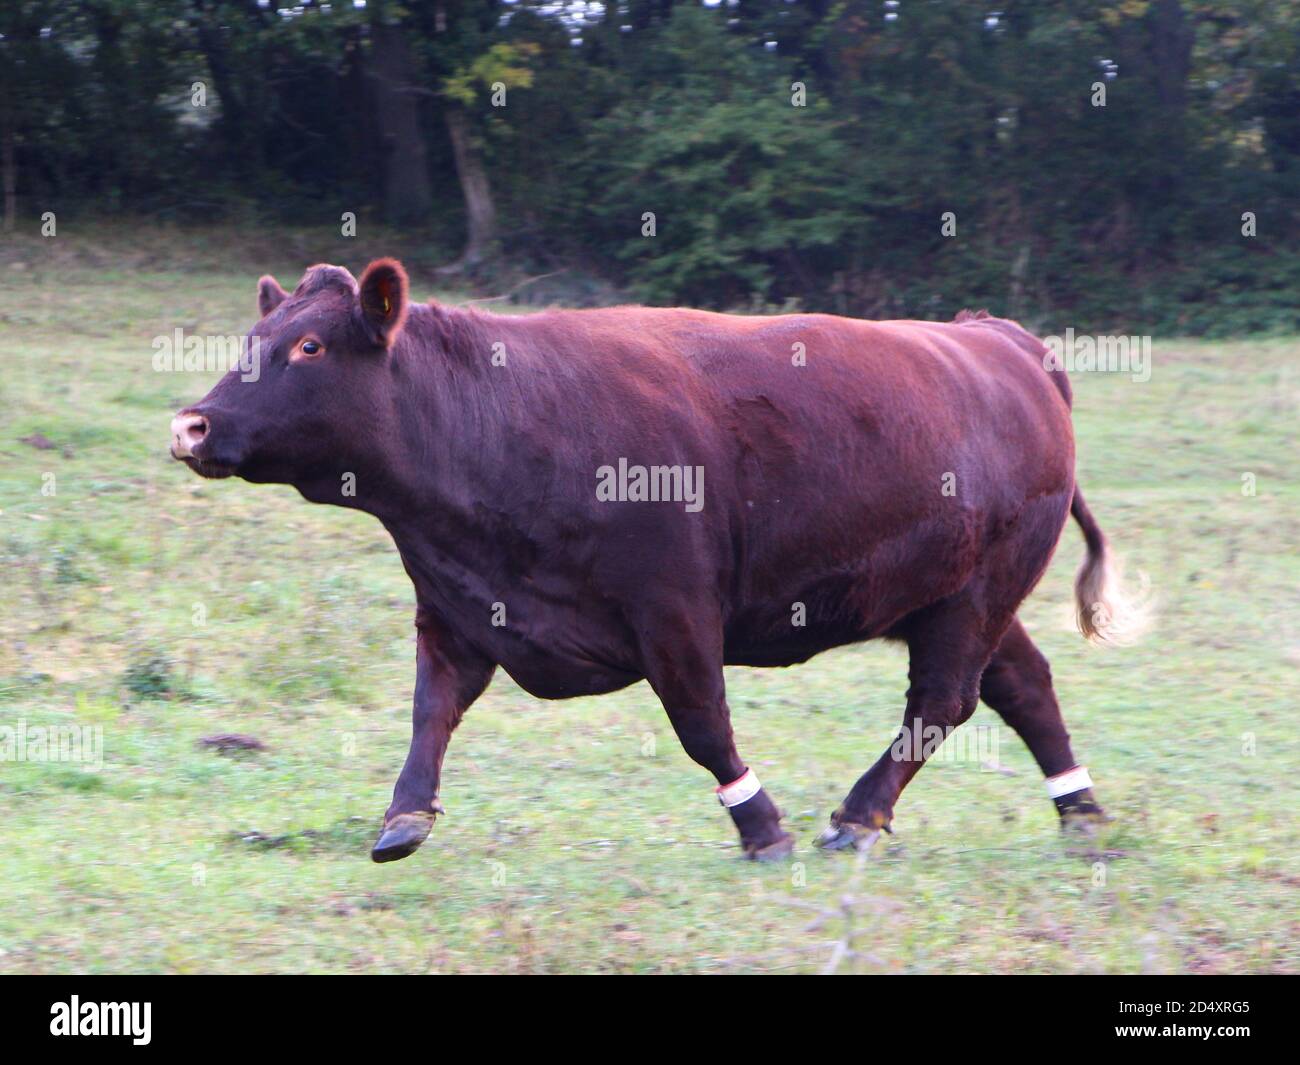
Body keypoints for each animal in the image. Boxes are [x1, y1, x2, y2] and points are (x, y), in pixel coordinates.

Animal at [169, 260, 1148, 863]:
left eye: (309, 346)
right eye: (257, 338)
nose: (191, 424)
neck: (497, 419)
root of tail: (1000, 339)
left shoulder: (674, 608)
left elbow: (701, 723)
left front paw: (761, 825)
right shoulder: (457, 607)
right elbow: (429, 713)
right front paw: (402, 816)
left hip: (977, 592)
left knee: (943, 699)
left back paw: (859, 816)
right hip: (950, 593)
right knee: (1021, 686)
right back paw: (1081, 812)